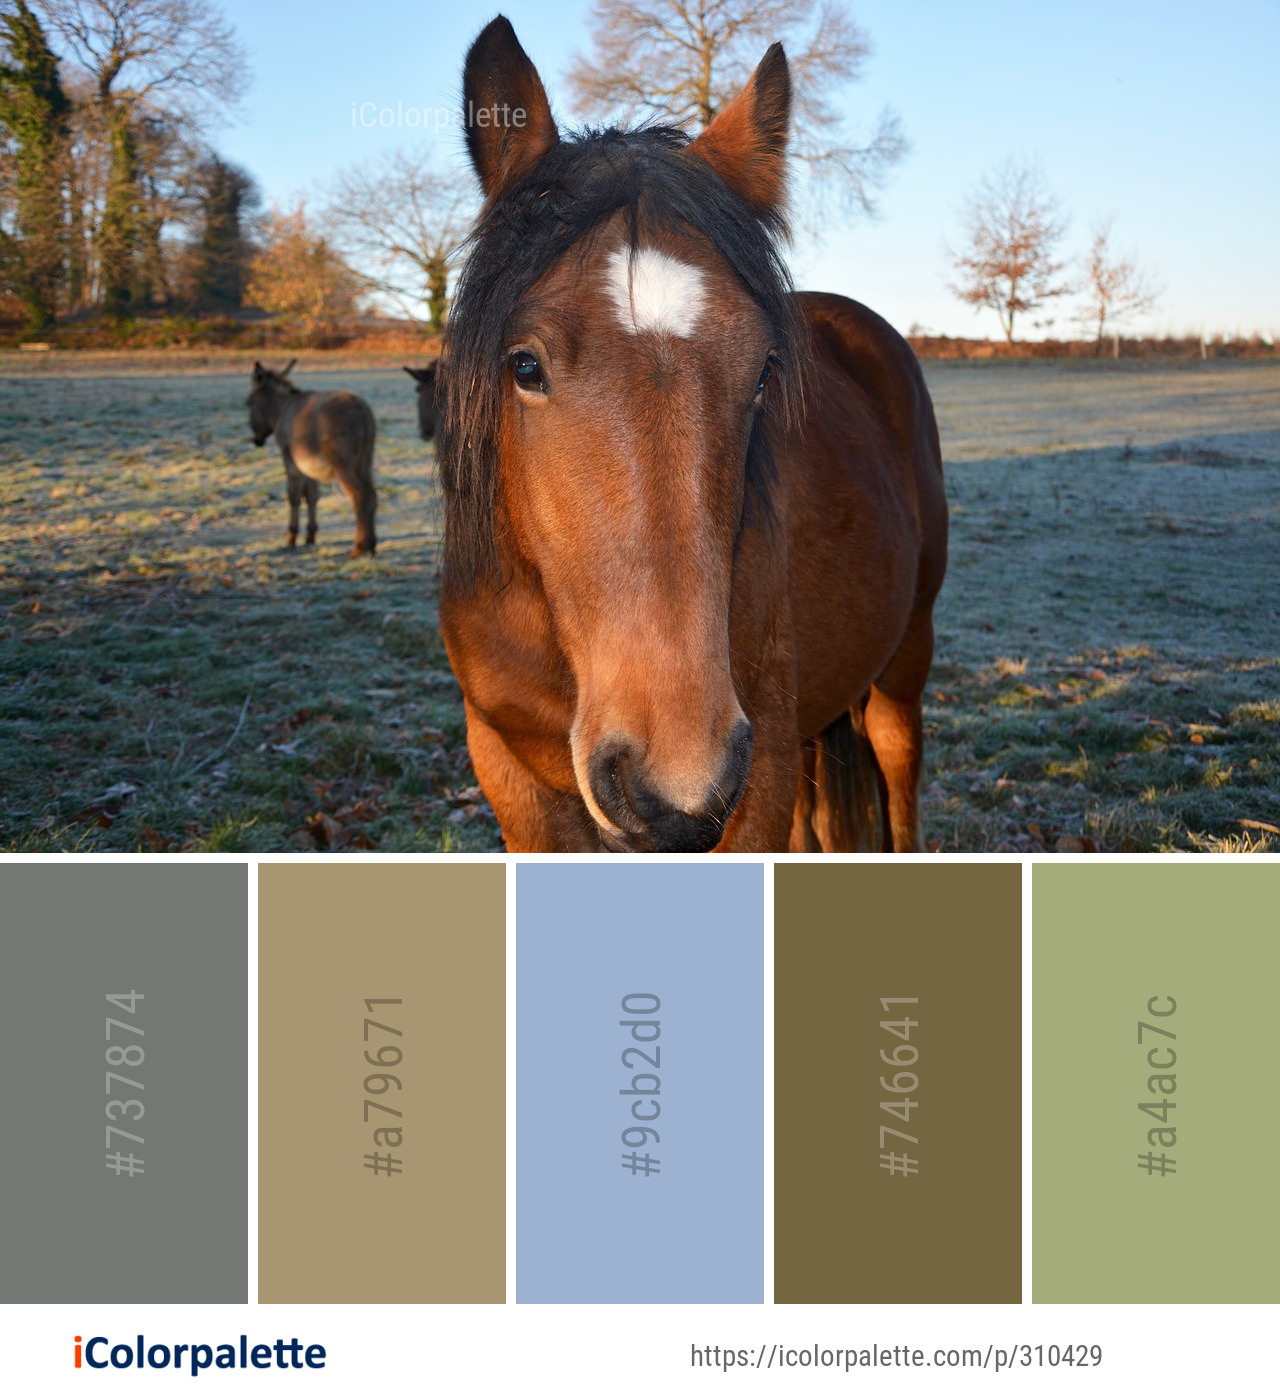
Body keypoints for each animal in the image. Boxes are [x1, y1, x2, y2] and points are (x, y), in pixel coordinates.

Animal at [247, 360, 378, 556]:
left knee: (359, 495)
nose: (257, 441)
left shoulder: (290, 460)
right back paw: (372, 546)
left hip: (343, 466)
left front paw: (291, 538)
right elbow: (311, 496)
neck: (281, 411)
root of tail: (362, 411)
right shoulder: (309, 467)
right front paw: (310, 537)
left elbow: (293, 496)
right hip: (364, 462)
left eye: (248, 403)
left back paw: (359, 548)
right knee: (372, 494)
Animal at [437, 16, 948, 853]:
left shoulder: (756, 778)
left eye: (764, 371)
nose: (676, 785)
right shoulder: (510, 775)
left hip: (902, 667)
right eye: (524, 365)